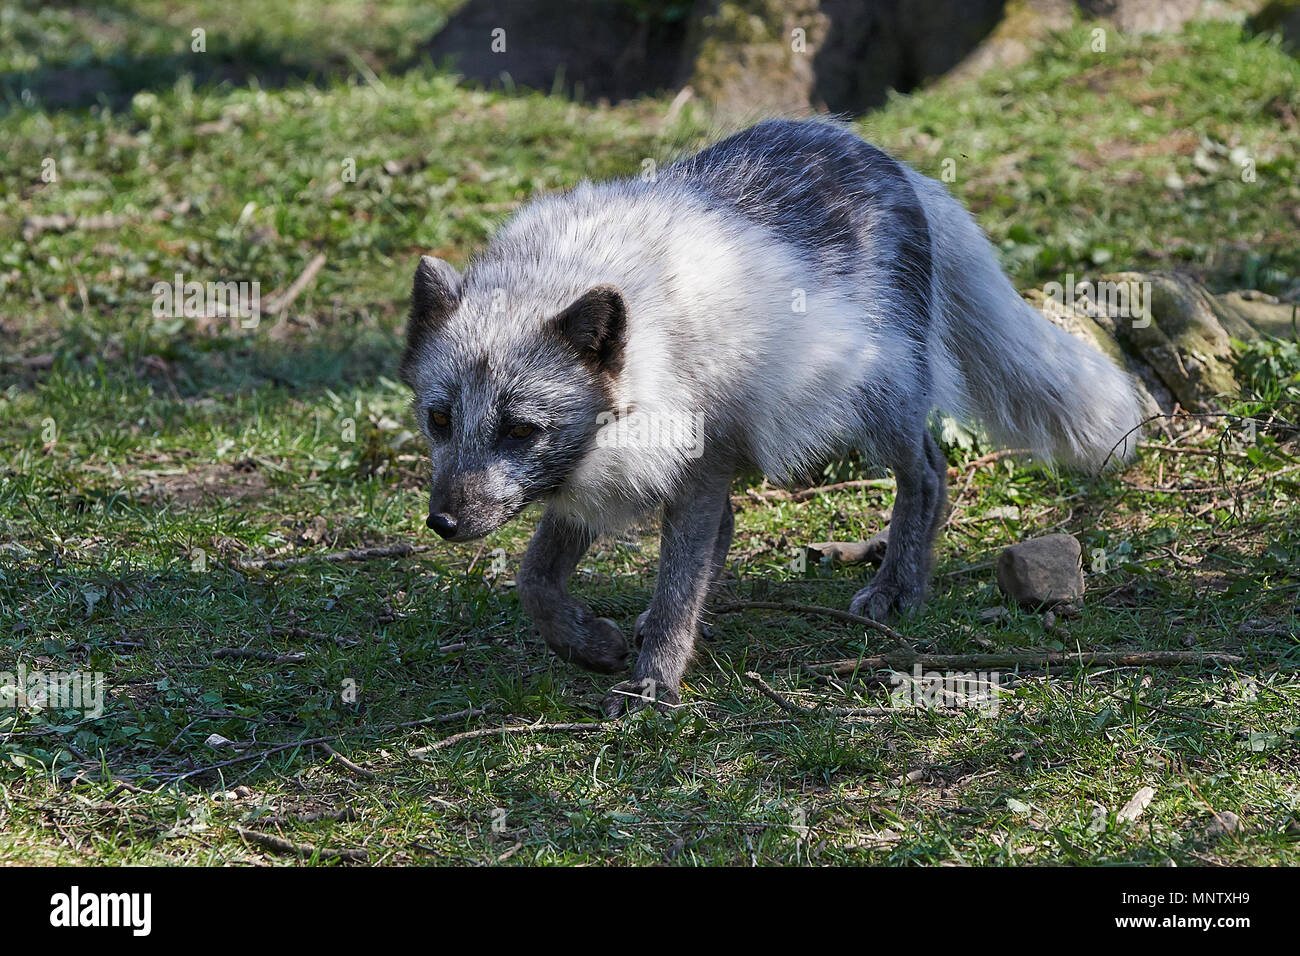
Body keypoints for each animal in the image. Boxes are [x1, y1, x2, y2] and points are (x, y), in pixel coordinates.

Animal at [399, 118, 1142, 716]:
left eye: (520, 429)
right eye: (439, 420)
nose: (444, 524)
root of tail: (890, 161)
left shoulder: (685, 464)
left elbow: (676, 589)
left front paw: (652, 684)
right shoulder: (592, 466)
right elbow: (535, 581)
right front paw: (591, 644)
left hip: (880, 399)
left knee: (929, 472)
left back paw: (898, 587)